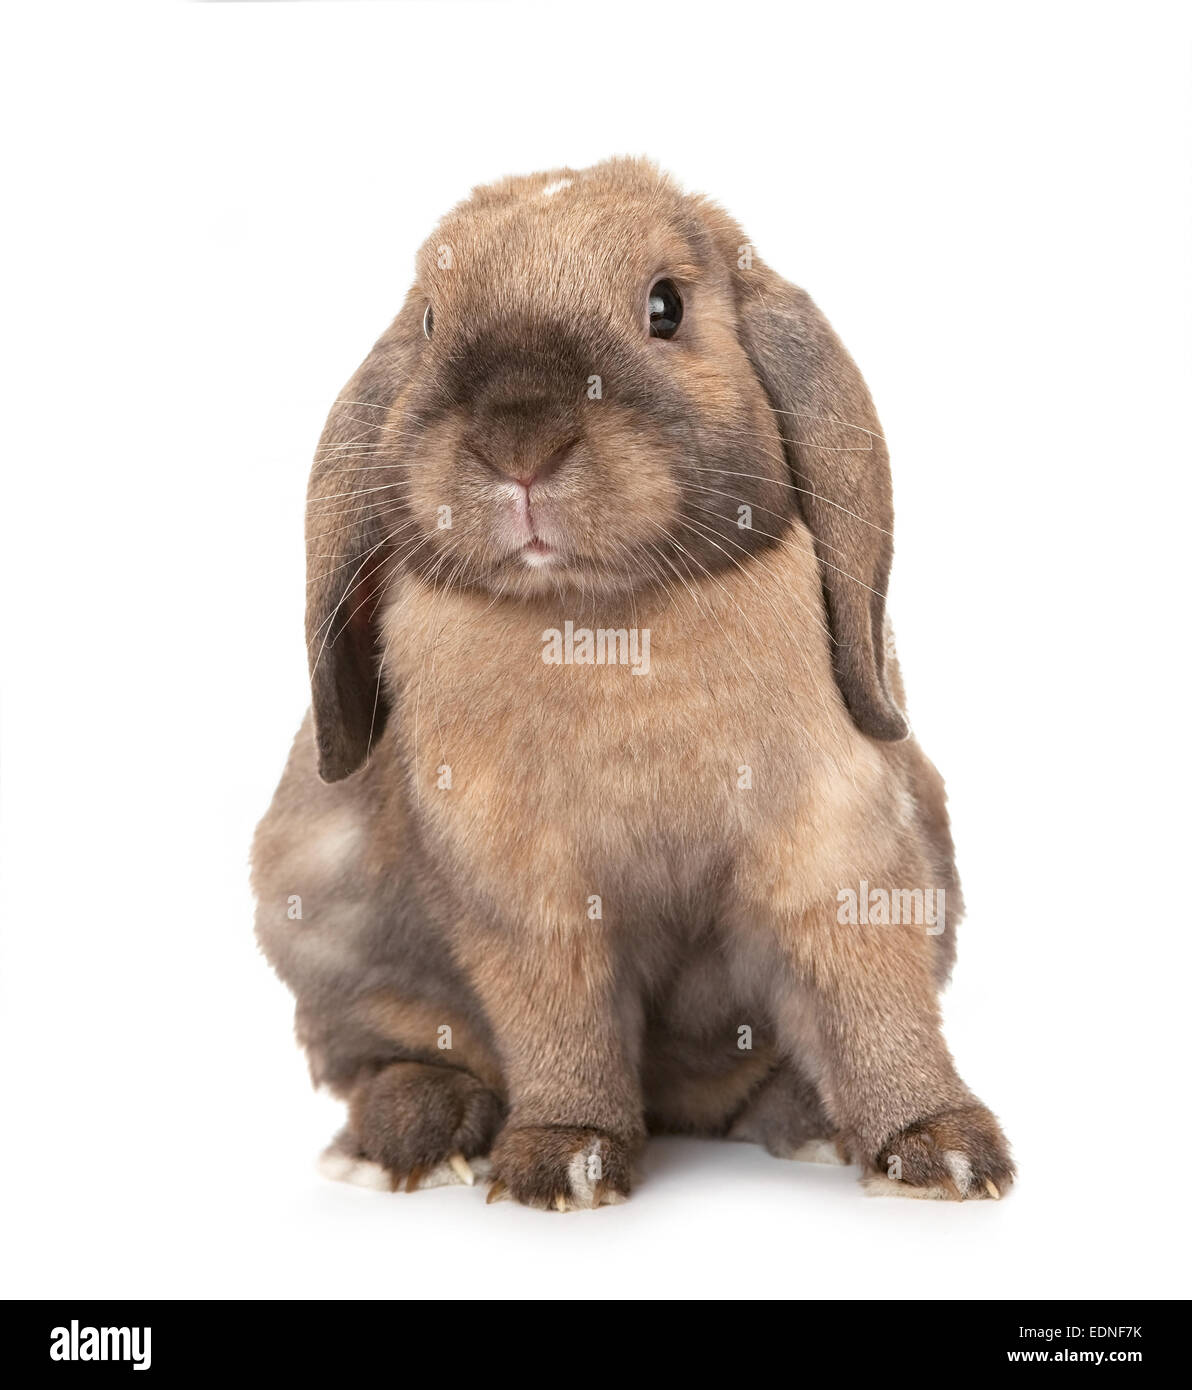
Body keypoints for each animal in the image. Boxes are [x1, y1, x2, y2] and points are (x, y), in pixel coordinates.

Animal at [251, 157, 1013, 1210]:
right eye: (432, 321)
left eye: (666, 307)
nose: (520, 441)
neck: (601, 622)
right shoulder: (524, 893)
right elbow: (560, 1018)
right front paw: (563, 1160)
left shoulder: (838, 847)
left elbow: (870, 996)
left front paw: (939, 1149)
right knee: (388, 1052)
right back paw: (410, 1136)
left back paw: (809, 1122)